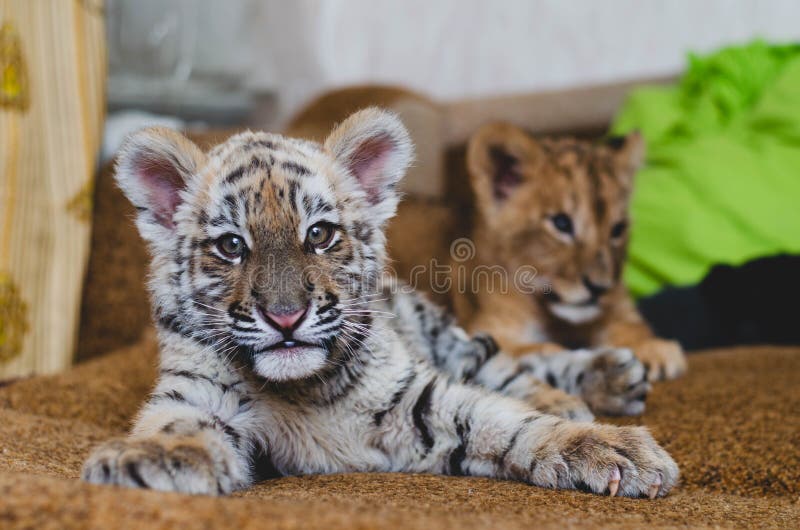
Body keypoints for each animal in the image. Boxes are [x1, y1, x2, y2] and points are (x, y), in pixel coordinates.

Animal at [81, 109, 678, 499]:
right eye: (231, 246)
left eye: (319, 235)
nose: (285, 317)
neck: (304, 390)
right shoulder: (199, 397)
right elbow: (177, 428)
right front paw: (138, 463)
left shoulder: (418, 397)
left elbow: (504, 418)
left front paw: (615, 450)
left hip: (445, 338)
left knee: (502, 363)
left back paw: (600, 380)